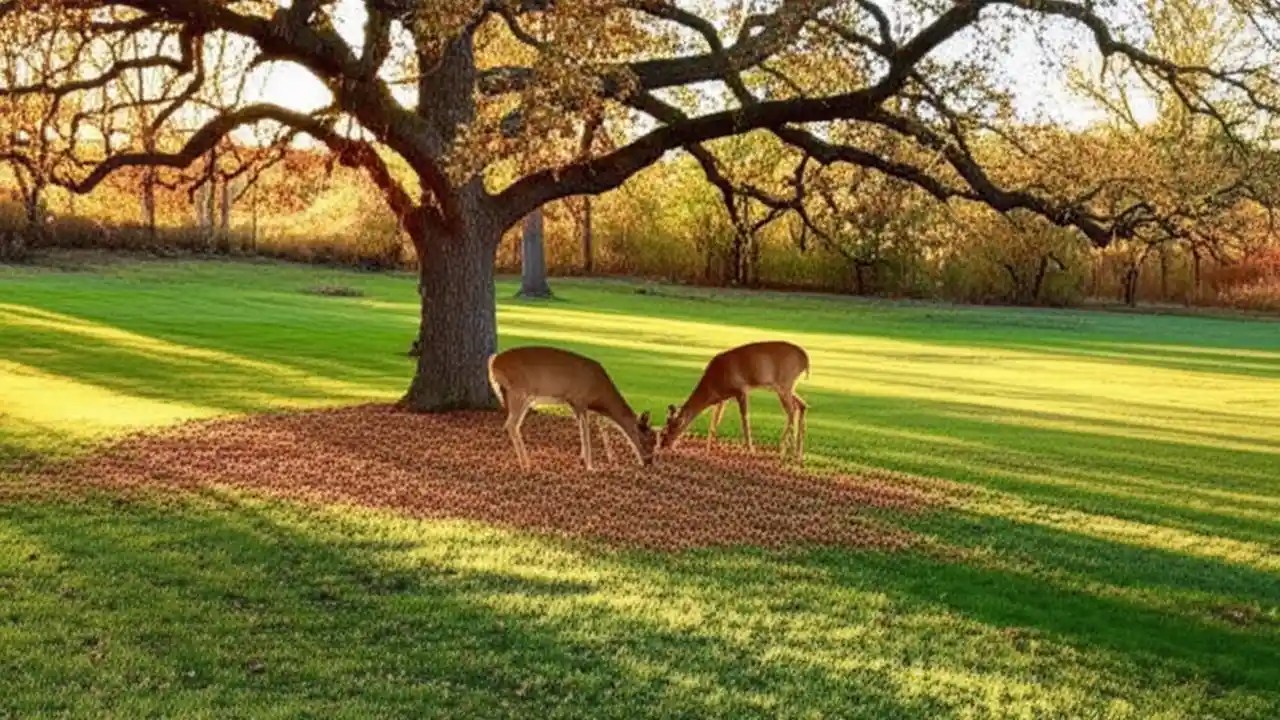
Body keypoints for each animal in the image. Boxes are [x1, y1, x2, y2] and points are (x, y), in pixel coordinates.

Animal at [488, 346, 658, 471]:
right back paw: (526, 464)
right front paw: (589, 465)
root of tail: (493, 362)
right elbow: (586, 431)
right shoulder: (580, 400)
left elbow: (599, 427)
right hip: (519, 392)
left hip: (509, 393)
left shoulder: (580, 405)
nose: (649, 462)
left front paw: (607, 460)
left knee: (509, 424)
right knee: (511, 424)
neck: (600, 395)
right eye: (648, 439)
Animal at [661, 341, 810, 461]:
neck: (712, 385)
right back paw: (798, 454)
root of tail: (806, 360)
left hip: (785, 383)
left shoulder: (741, 389)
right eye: (664, 427)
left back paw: (783, 451)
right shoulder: (722, 398)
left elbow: (744, 420)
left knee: (791, 411)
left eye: (674, 427)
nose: (663, 444)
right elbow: (714, 422)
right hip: (787, 388)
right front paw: (708, 450)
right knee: (802, 405)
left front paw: (751, 451)